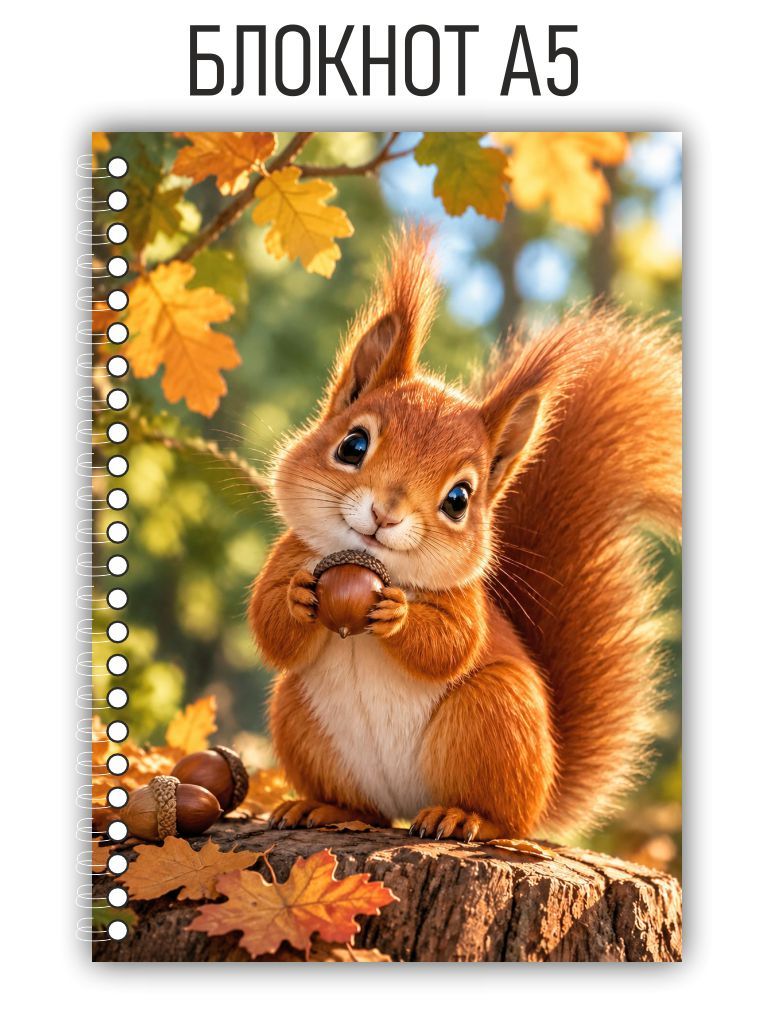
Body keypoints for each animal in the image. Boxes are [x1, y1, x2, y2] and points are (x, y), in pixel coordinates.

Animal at [249, 226, 681, 842]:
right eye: (352, 445)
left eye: (459, 499)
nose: (385, 514)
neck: (368, 562)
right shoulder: (292, 552)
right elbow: (268, 627)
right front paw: (296, 596)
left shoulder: (467, 599)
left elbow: (451, 644)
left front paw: (399, 613)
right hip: (300, 717)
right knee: (366, 807)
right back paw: (328, 809)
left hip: (494, 715)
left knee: (501, 817)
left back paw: (464, 816)